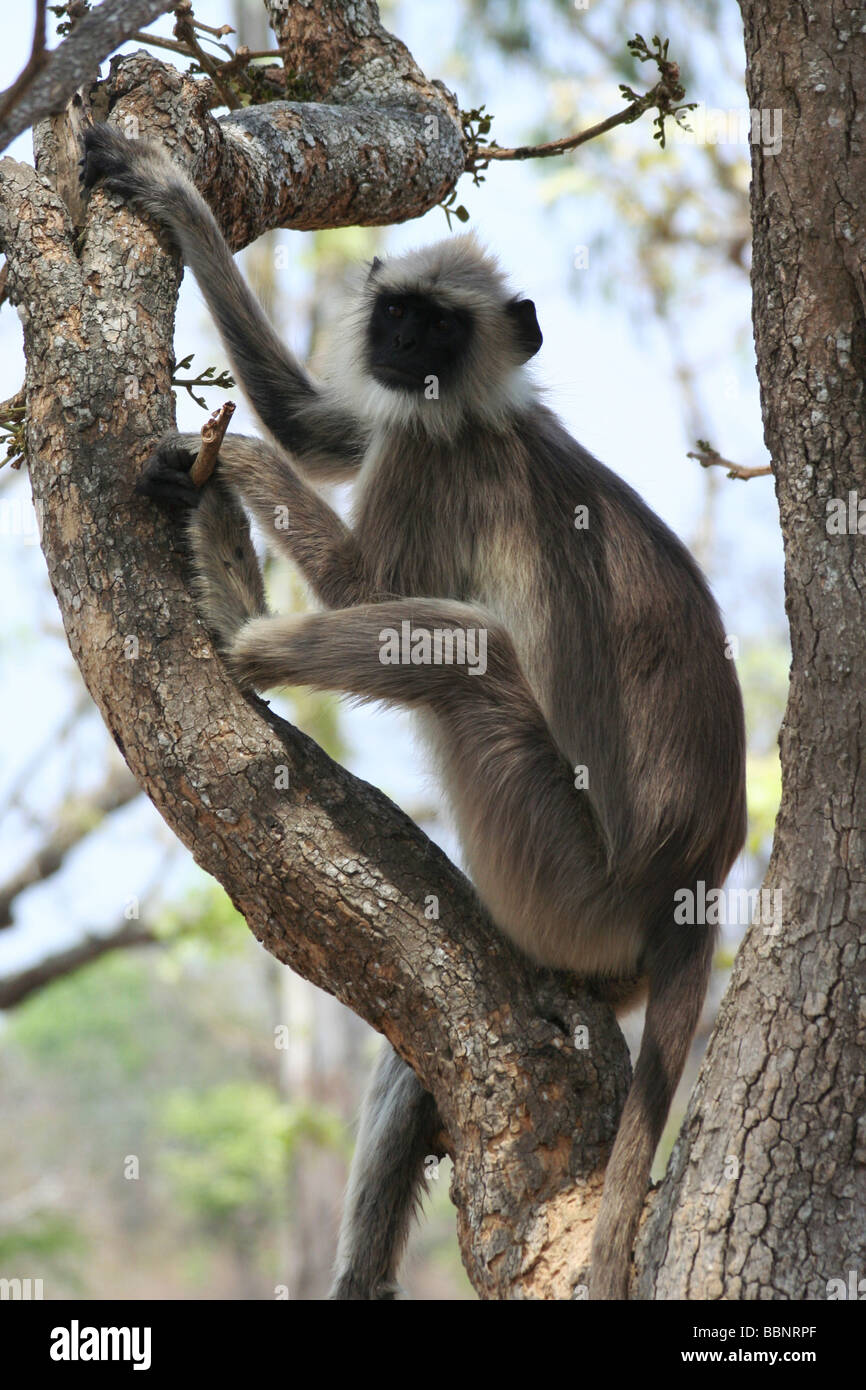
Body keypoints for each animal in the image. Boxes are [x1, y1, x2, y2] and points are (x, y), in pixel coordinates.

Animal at [80, 123, 747, 1301]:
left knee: (473, 653)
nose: (399, 345)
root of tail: (693, 883)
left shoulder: (436, 459)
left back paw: (245, 629)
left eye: (438, 322)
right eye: (395, 313)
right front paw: (168, 189)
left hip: (562, 881)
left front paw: (231, 462)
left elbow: (364, 578)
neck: (478, 410)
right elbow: (316, 425)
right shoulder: (407, 418)